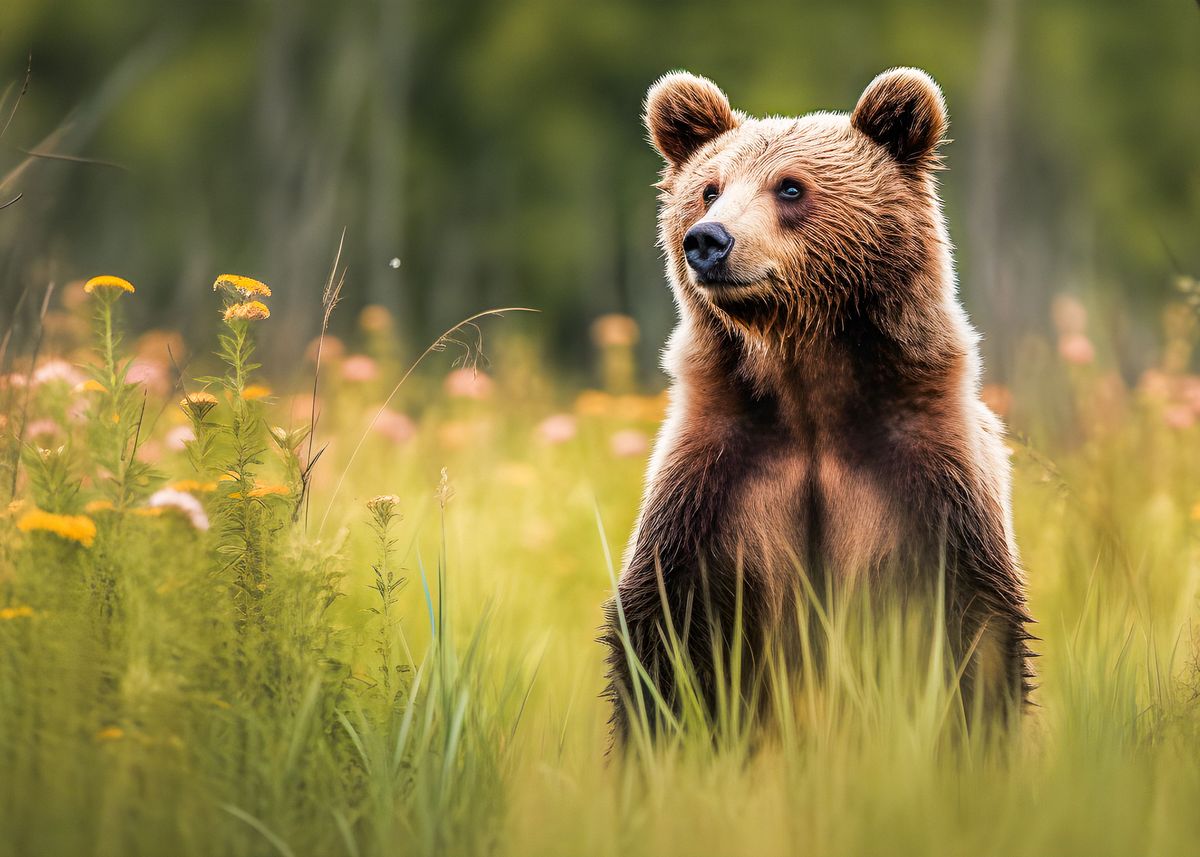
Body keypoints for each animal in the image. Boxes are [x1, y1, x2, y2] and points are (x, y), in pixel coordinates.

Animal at [601, 67, 1033, 745]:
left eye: (790, 186)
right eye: (708, 189)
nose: (709, 241)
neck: (807, 393)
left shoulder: (931, 477)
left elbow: (974, 626)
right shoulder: (712, 479)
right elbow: (666, 632)